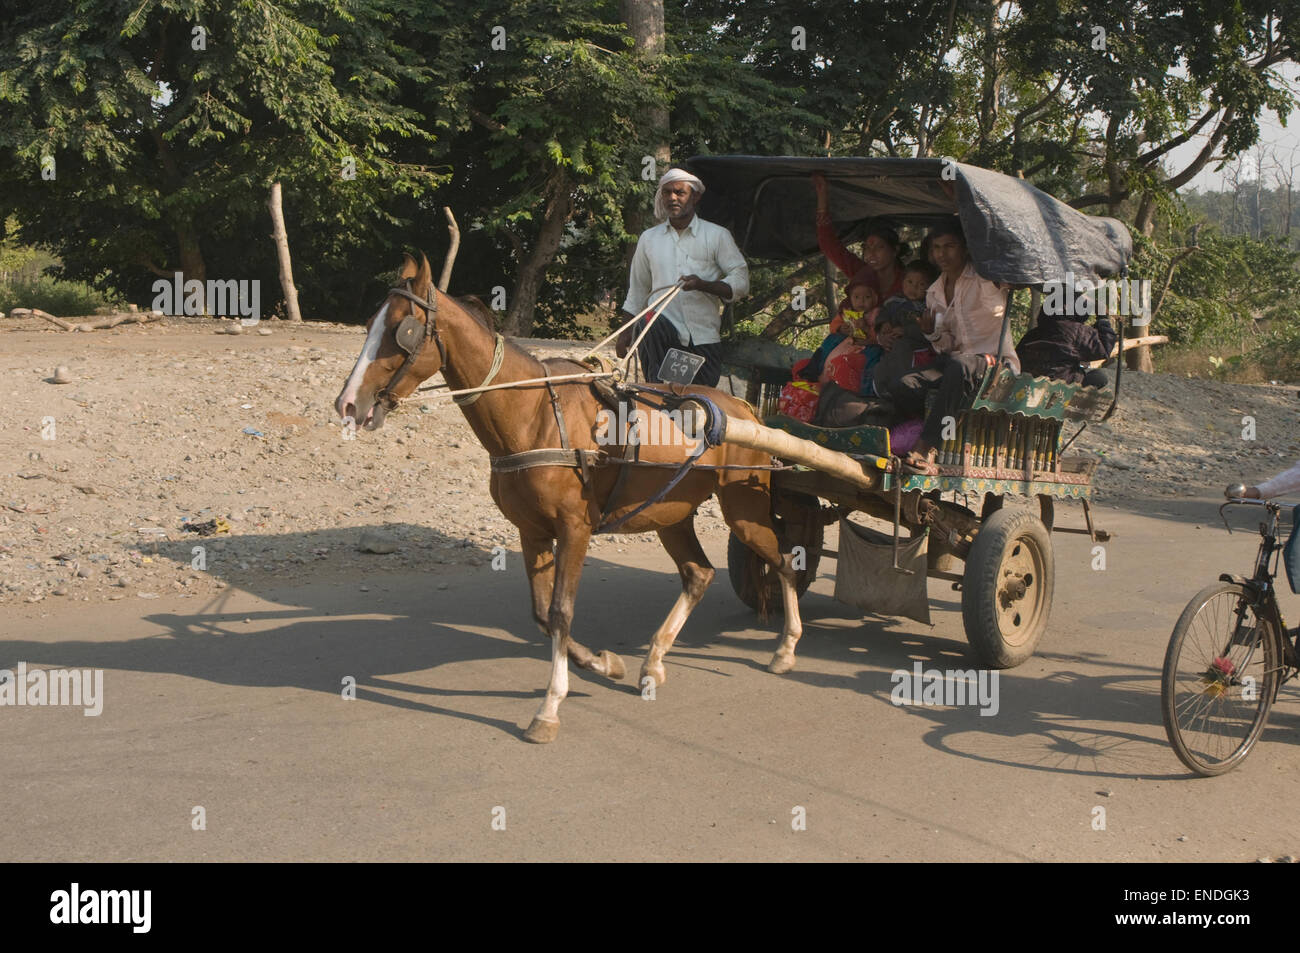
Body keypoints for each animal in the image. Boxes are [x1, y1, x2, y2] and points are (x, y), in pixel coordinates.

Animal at [335, 254, 805, 743]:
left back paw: (786, 649)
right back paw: (654, 661)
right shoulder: (532, 532)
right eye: (369, 323)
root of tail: (744, 410)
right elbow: (543, 614)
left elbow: (561, 611)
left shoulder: (575, 529)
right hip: (671, 512)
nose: (347, 404)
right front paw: (603, 663)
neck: (535, 416)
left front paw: (549, 707)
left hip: (743, 509)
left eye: (401, 330)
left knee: (785, 561)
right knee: (698, 574)